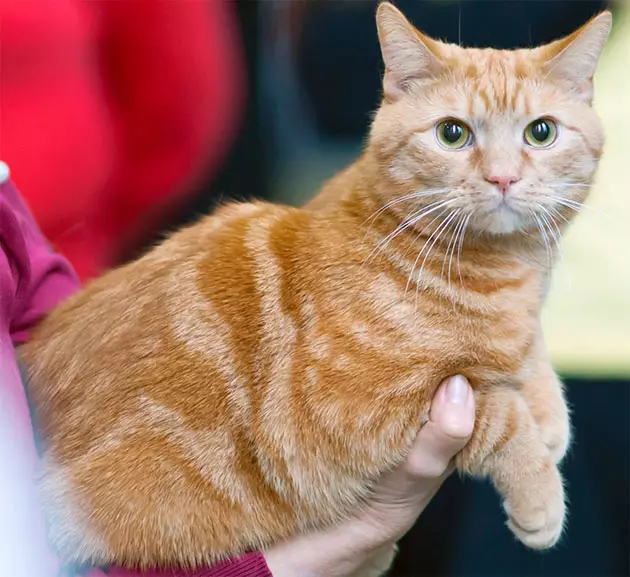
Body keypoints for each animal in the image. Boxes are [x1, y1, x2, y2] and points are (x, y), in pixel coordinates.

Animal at [21, 3, 612, 572]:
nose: (503, 178)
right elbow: (499, 412)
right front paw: (539, 490)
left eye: (541, 132)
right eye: (453, 133)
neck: (503, 271)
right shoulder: (358, 411)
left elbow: (528, 353)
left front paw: (548, 408)